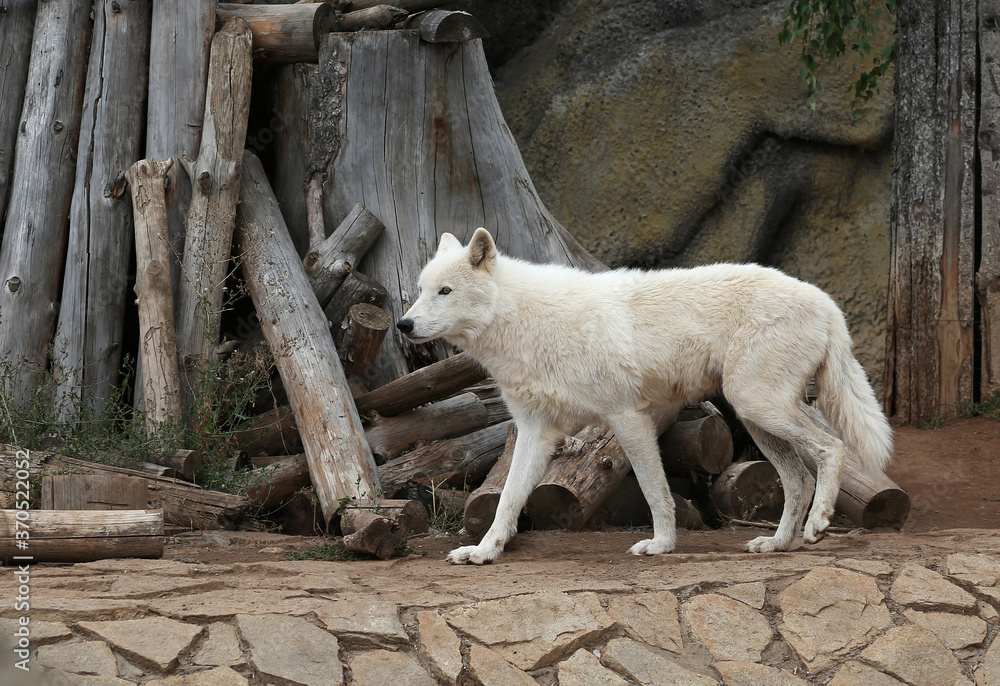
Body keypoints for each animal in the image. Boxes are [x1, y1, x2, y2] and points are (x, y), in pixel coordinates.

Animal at [397, 228, 893, 565]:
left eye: (445, 291)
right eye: (420, 291)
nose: (403, 324)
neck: (525, 321)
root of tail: (826, 300)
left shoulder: (626, 417)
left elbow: (656, 490)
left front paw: (661, 545)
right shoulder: (536, 431)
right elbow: (508, 499)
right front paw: (484, 551)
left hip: (758, 406)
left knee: (832, 448)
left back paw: (818, 522)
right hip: (755, 416)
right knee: (797, 479)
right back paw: (776, 543)